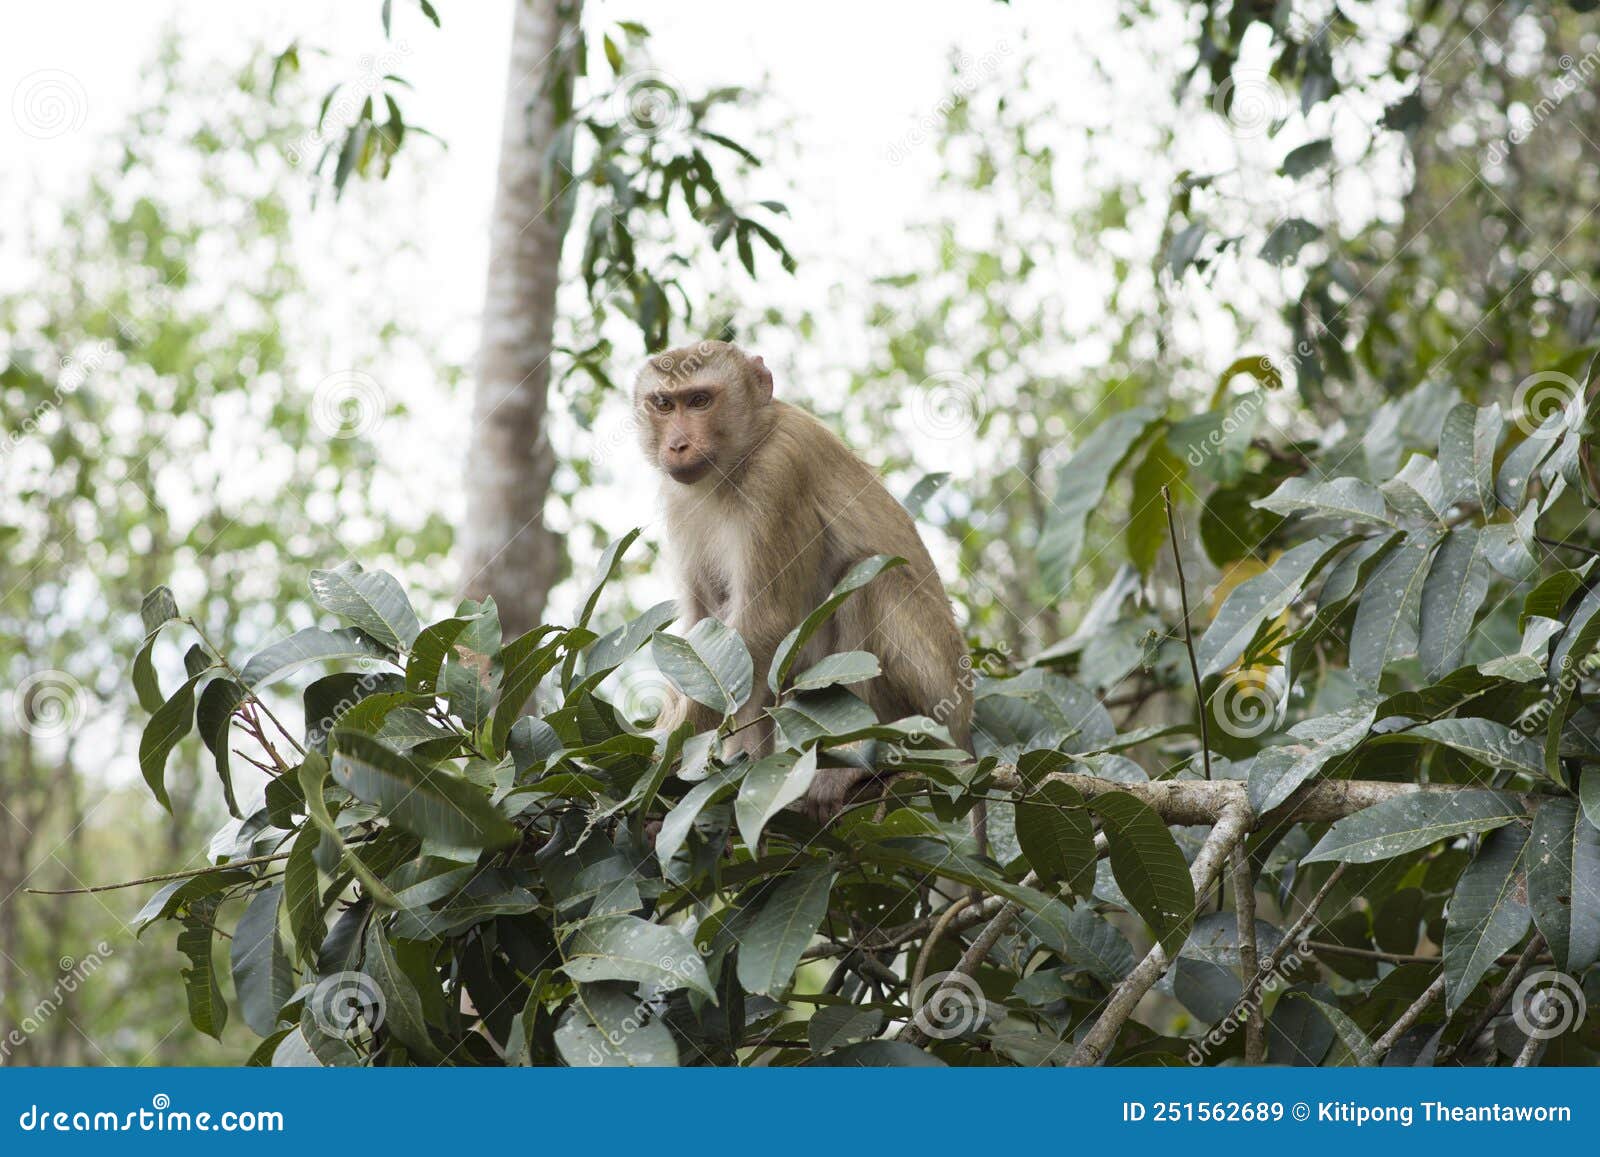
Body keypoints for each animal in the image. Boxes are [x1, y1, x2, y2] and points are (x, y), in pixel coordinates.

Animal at [634, 340, 974, 825]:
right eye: (663, 404)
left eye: (699, 400)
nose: (677, 444)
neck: (744, 453)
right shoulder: (679, 500)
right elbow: (708, 626)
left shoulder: (777, 474)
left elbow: (764, 621)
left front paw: (655, 757)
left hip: (940, 698)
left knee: (870, 581)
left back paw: (856, 762)